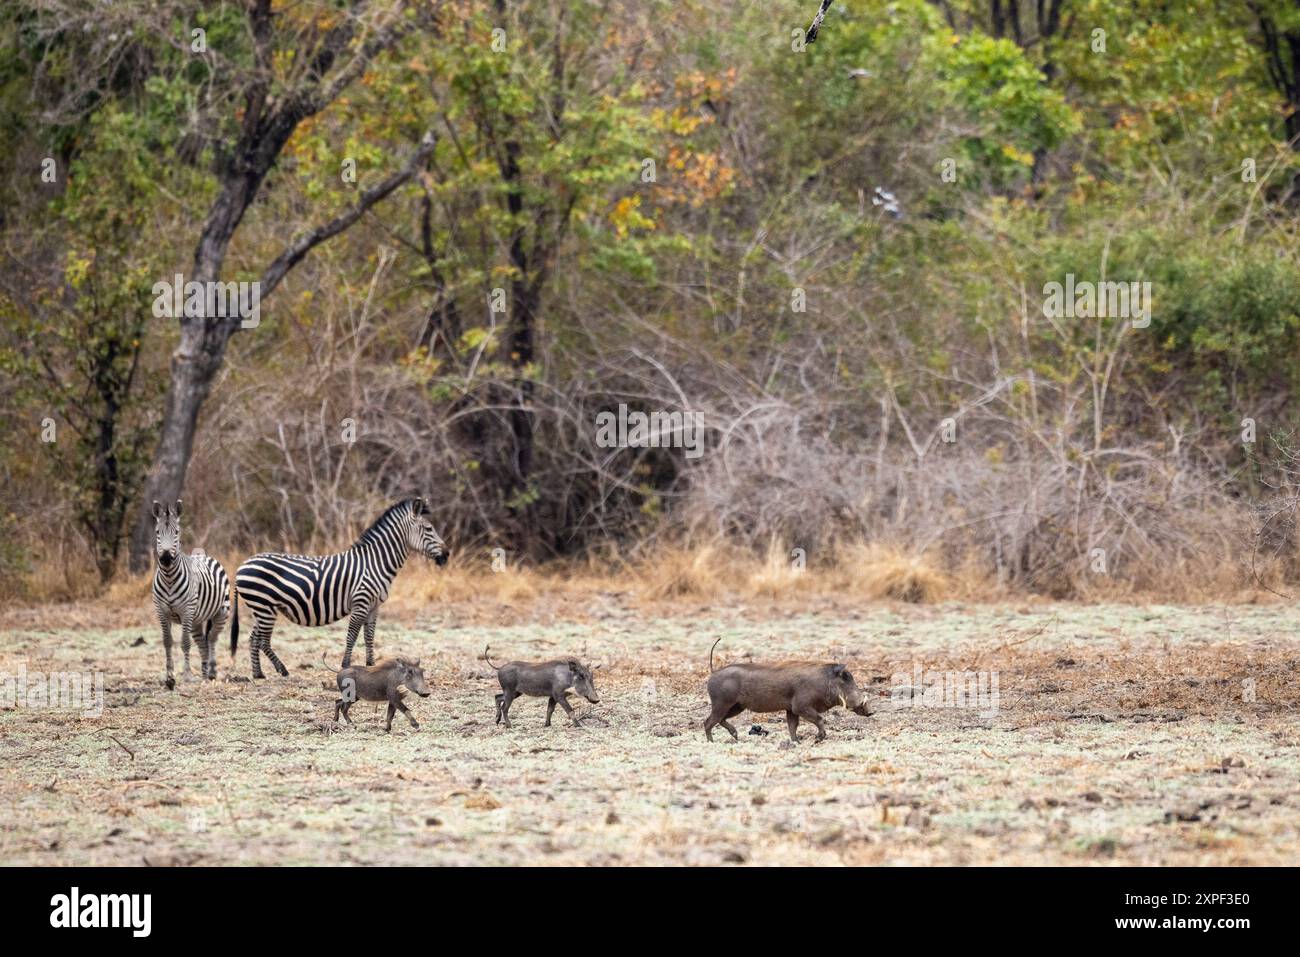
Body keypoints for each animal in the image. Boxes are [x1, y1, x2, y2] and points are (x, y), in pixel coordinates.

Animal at [150, 500, 231, 688]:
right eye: (157, 532)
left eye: (176, 532)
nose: (166, 559)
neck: (169, 579)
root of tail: (202, 555)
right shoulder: (161, 611)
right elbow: (167, 642)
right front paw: (169, 677)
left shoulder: (186, 611)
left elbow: (185, 643)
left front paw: (186, 675)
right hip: (196, 620)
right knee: (202, 643)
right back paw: (204, 673)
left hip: (221, 613)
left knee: (213, 639)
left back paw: (211, 672)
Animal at [231, 497, 449, 678]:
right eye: (429, 529)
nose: (447, 555)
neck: (375, 563)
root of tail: (242, 565)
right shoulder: (361, 602)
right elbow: (352, 635)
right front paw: (345, 665)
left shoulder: (374, 606)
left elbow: (369, 637)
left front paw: (371, 665)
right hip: (264, 607)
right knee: (262, 640)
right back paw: (282, 670)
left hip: (261, 608)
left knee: (253, 639)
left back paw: (258, 674)